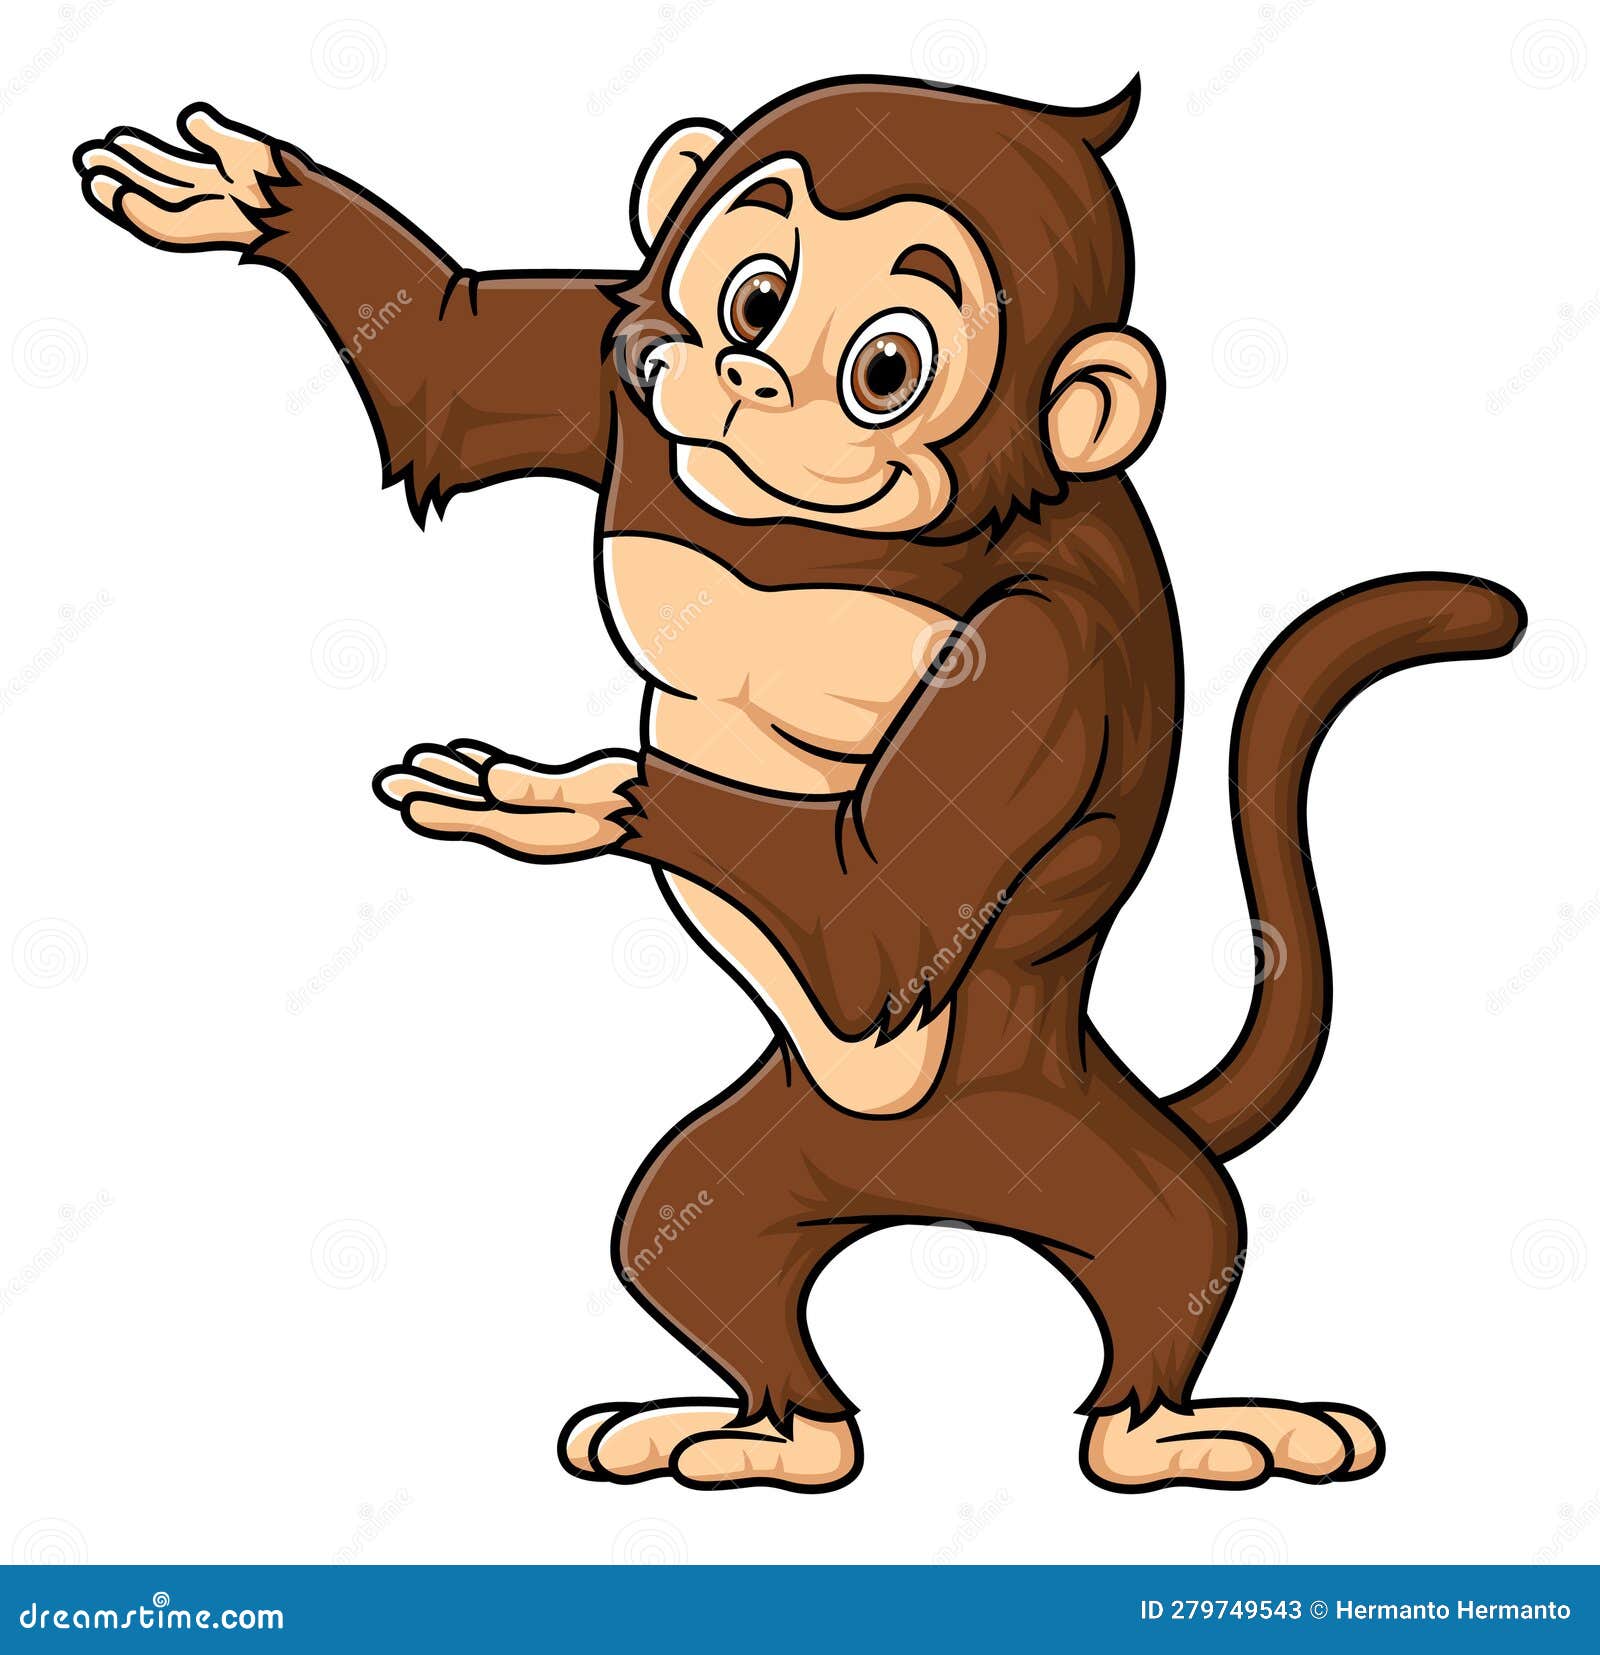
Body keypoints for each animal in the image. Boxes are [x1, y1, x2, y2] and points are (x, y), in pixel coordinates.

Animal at [74, 76, 1525, 1493]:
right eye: (755, 292)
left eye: (888, 366)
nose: (749, 372)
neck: (816, 543)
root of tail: (934, 1191)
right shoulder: (613, 375)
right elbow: (448, 367)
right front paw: (241, 188)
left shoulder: (1038, 657)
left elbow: (880, 906)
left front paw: (574, 796)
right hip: (772, 1154)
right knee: (685, 1242)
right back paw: (757, 1433)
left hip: (1077, 1150)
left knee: (1175, 1242)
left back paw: (1177, 1432)